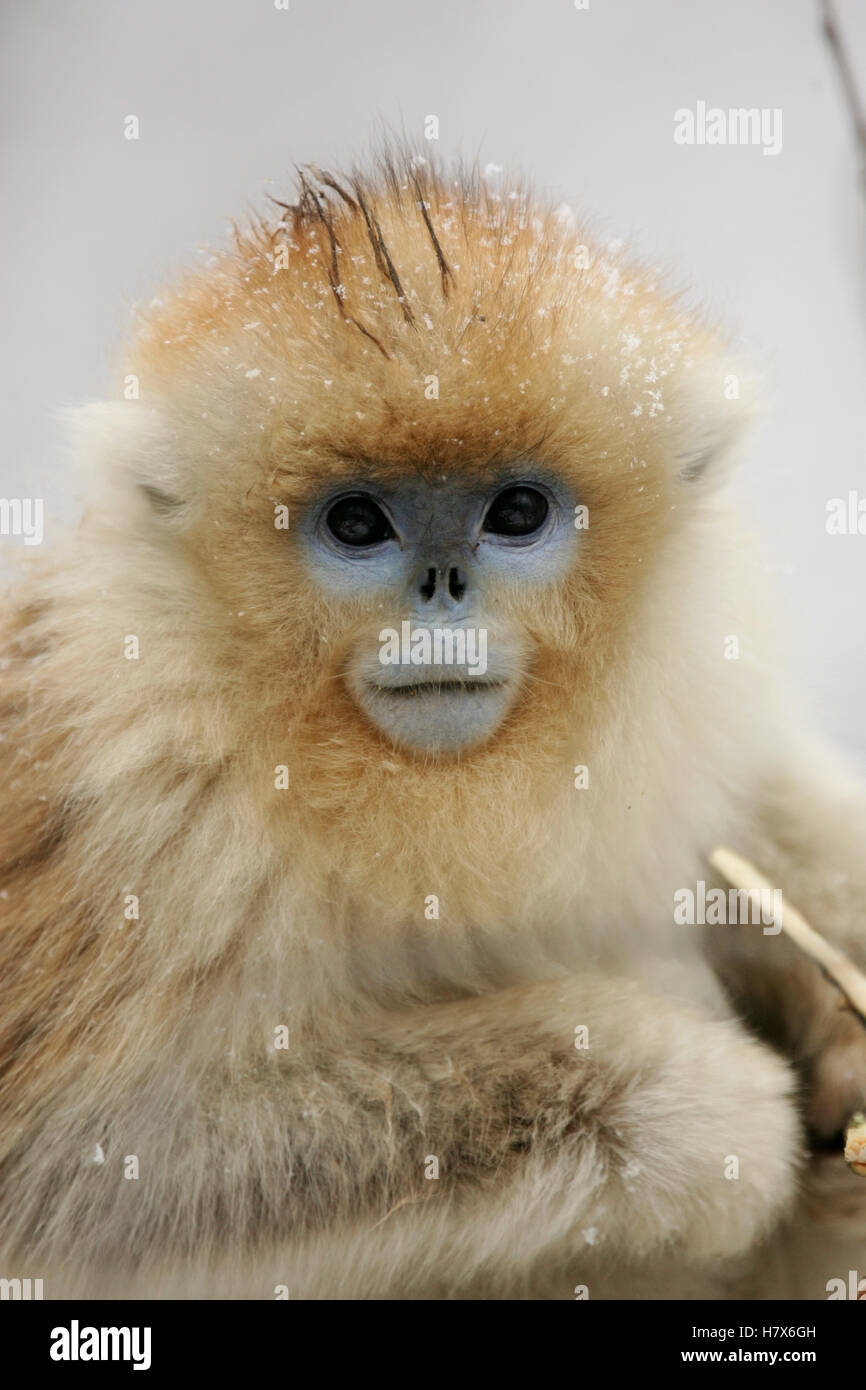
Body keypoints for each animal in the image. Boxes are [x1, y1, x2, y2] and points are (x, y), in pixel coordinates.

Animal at [0, 149, 865, 1301]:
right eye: (358, 522)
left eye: (516, 513)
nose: (442, 588)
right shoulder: (132, 772)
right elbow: (79, 1174)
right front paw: (698, 1111)